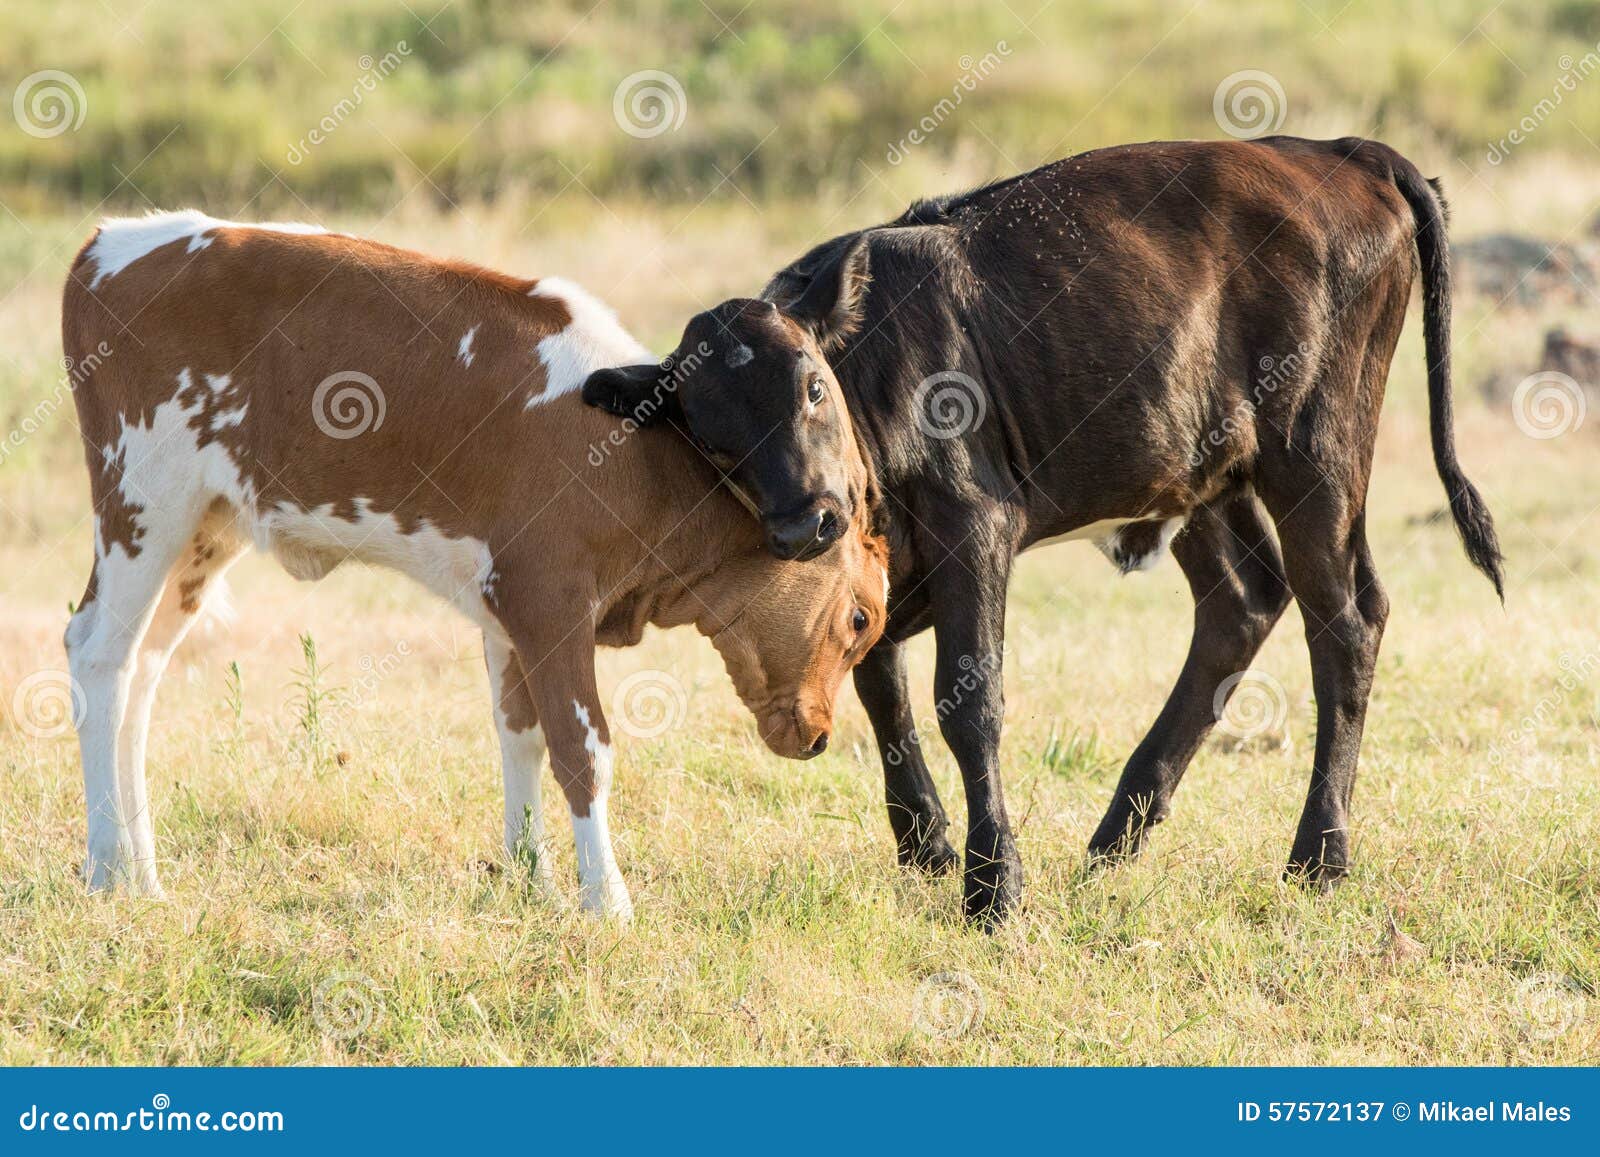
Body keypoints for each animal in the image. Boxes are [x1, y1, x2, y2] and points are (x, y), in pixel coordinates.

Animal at [60, 209, 889, 918]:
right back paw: (104, 868)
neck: (635, 453)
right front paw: (606, 901)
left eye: (817, 388)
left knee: (143, 672)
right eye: (860, 618)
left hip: (203, 529)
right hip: (144, 502)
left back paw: (143, 873)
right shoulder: (547, 602)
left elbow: (520, 733)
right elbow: (582, 747)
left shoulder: (505, 610)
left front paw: (533, 881)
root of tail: (111, 240)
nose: (820, 734)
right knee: (100, 656)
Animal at [582, 137, 1505, 928]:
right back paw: (1118, 836)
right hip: (1203, 470)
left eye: (813, 385)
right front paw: (926, 842)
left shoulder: (974, 521)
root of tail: (1334, 151)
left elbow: (969, 699)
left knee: (1345, 623)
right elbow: (881, 684)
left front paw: (993, 884)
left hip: (1317, 450)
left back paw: (1318, 856)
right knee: (1244, 601)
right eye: (711, 441)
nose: (809, 519)